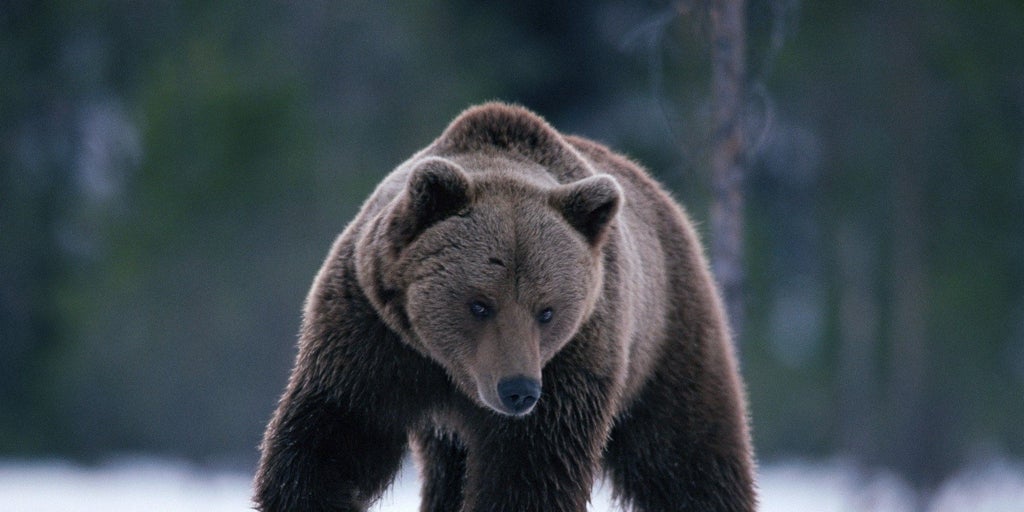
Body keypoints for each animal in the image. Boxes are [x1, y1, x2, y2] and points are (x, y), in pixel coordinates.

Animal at [254, 102, 756, 512]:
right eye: (480, 304)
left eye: (547, 311)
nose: (518, 390)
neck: (452, 374)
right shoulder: (373, 337)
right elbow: (335, 438)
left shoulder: (572, 362)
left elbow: (529, 472)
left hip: (667, 343)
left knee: (685, 457)